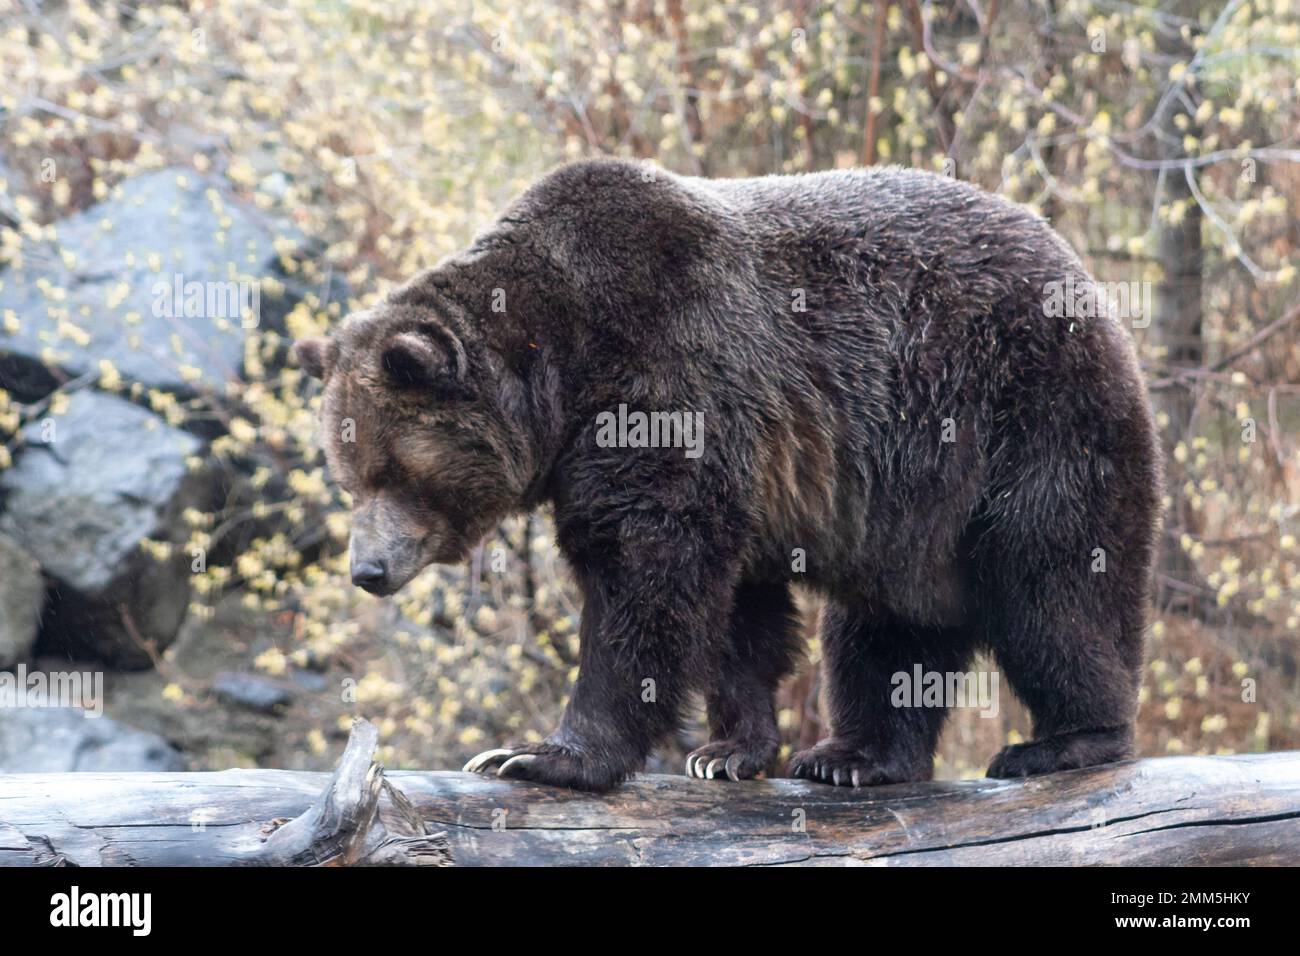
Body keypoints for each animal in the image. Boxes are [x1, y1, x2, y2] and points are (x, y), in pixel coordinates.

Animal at [293, 158, 1160, 792]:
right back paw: (855, 756)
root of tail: (1084, 278)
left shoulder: (667, 382)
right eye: (348, 478)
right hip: (909, 503)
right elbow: (739, 609)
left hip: (1026, 416)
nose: (366, 570)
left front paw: (541, 754)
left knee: (1049, 579)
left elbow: (646, 572)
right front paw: (730, 749)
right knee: (887, 624)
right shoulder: (743, 465)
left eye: (393, 471)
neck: (560, 366)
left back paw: (1069, 739)